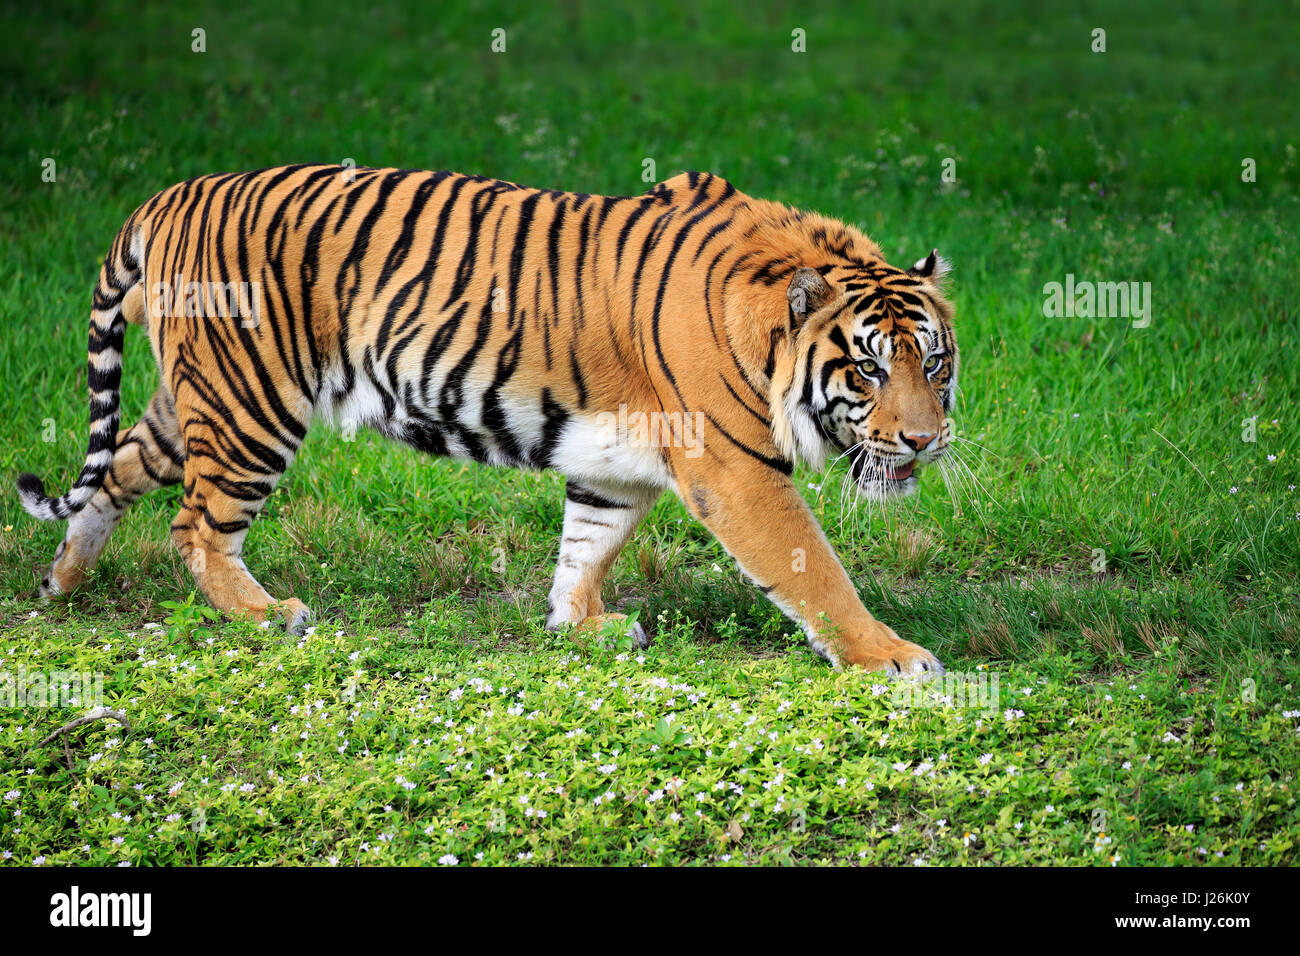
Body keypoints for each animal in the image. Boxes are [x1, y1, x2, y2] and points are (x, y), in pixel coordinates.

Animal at [17, 165, 958, 675]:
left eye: (934, 364)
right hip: (251, 404)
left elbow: (588, 541)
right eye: (869, 368)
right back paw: (266, 614)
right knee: (196, 525)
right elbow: (817, 574)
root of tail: (168, 197)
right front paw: (891, 656)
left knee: (116, 473)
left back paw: (64, 582)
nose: (923, 439)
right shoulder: (737, 471)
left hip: (195, 399)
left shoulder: (617, 461)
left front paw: (581, 625)